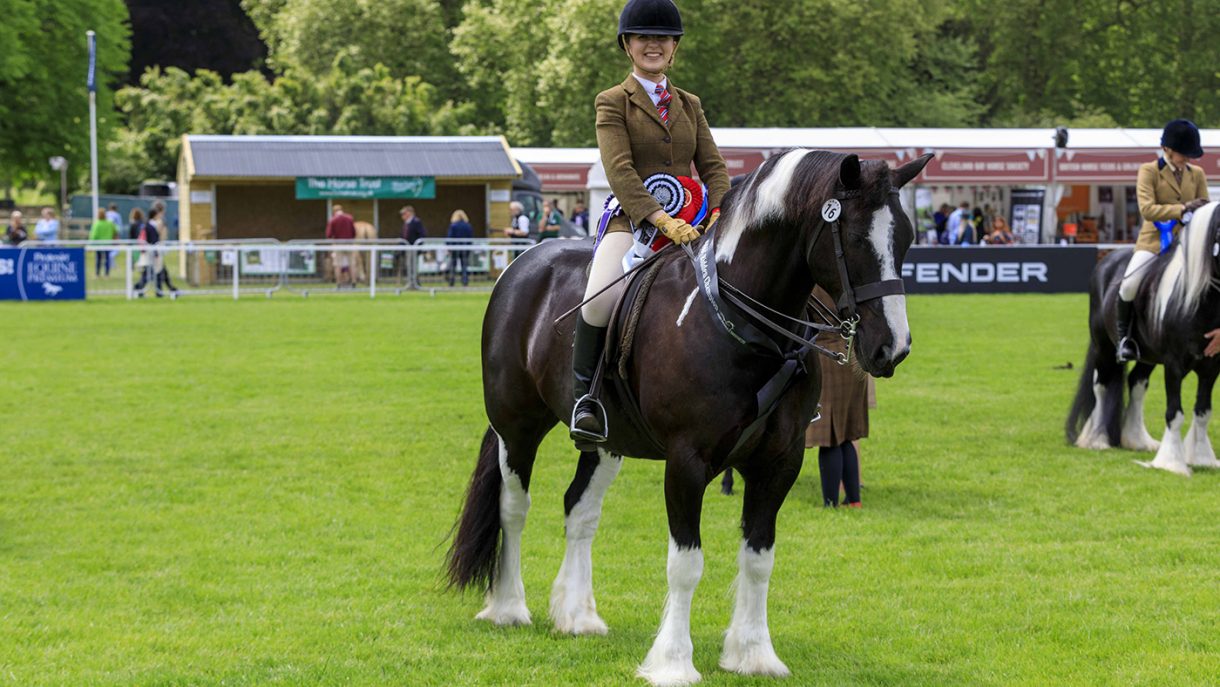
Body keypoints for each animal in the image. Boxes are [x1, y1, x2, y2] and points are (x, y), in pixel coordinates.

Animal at [446, 150, 932, 686]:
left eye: (906, 237)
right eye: (853, 237)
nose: (892, 347)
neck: (739, 320)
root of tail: (522, 264)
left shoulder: (779, 463)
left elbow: (759, 558)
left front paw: (753, 654)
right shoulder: (687, 464)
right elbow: (686, 564)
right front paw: (674, 661)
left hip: (605, 441)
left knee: (580, 510)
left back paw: (577, 616)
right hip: (517, 428)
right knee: (513, 507)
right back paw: (509, 607)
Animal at [1066, 202, 1220, 476]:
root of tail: (1107, 260)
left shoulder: (1211, 367)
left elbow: (1203, 412)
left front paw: (1202, 458)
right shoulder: (1174, 365)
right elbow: (1175, 413)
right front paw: (1172, 463)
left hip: (1148, 356)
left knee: (1136, 382)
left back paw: (1138, 440)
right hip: (1104, 347)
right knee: (1101, 385)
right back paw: (1097, 440)